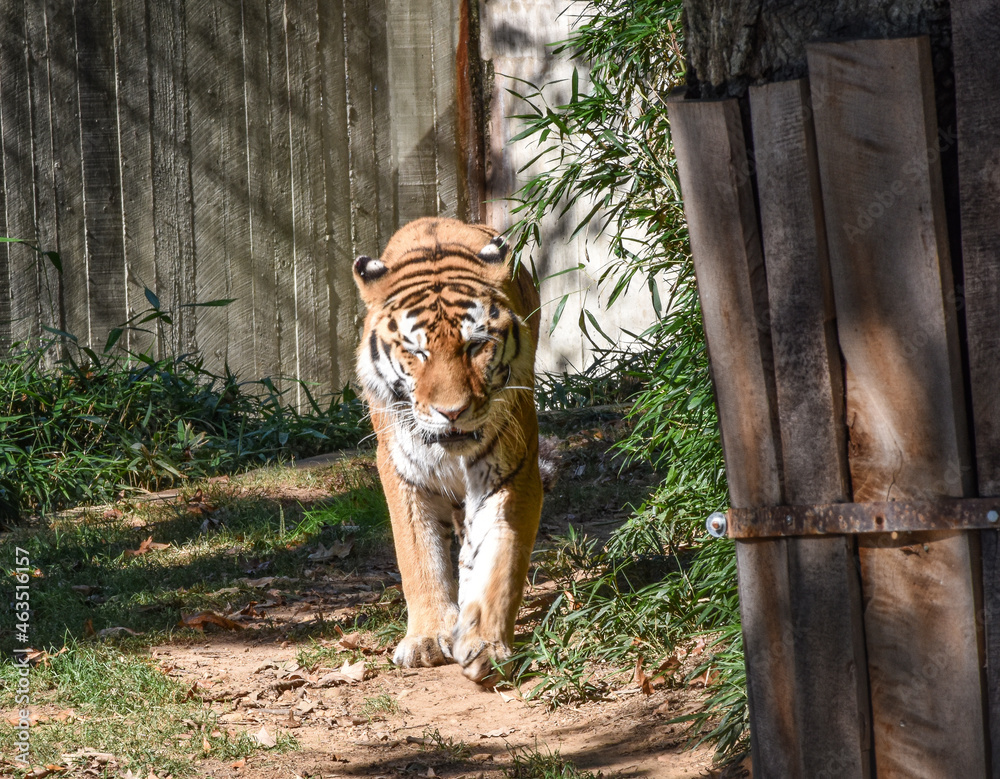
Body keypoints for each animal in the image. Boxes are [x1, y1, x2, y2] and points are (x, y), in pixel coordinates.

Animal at [352, 217, 543, 685]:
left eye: (475, 345)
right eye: (417, 351)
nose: (452, 411)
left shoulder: (512, 471)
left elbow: (499, 561)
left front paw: (487, 646)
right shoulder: (402, 473)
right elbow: (419, 557)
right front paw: (426, 639)